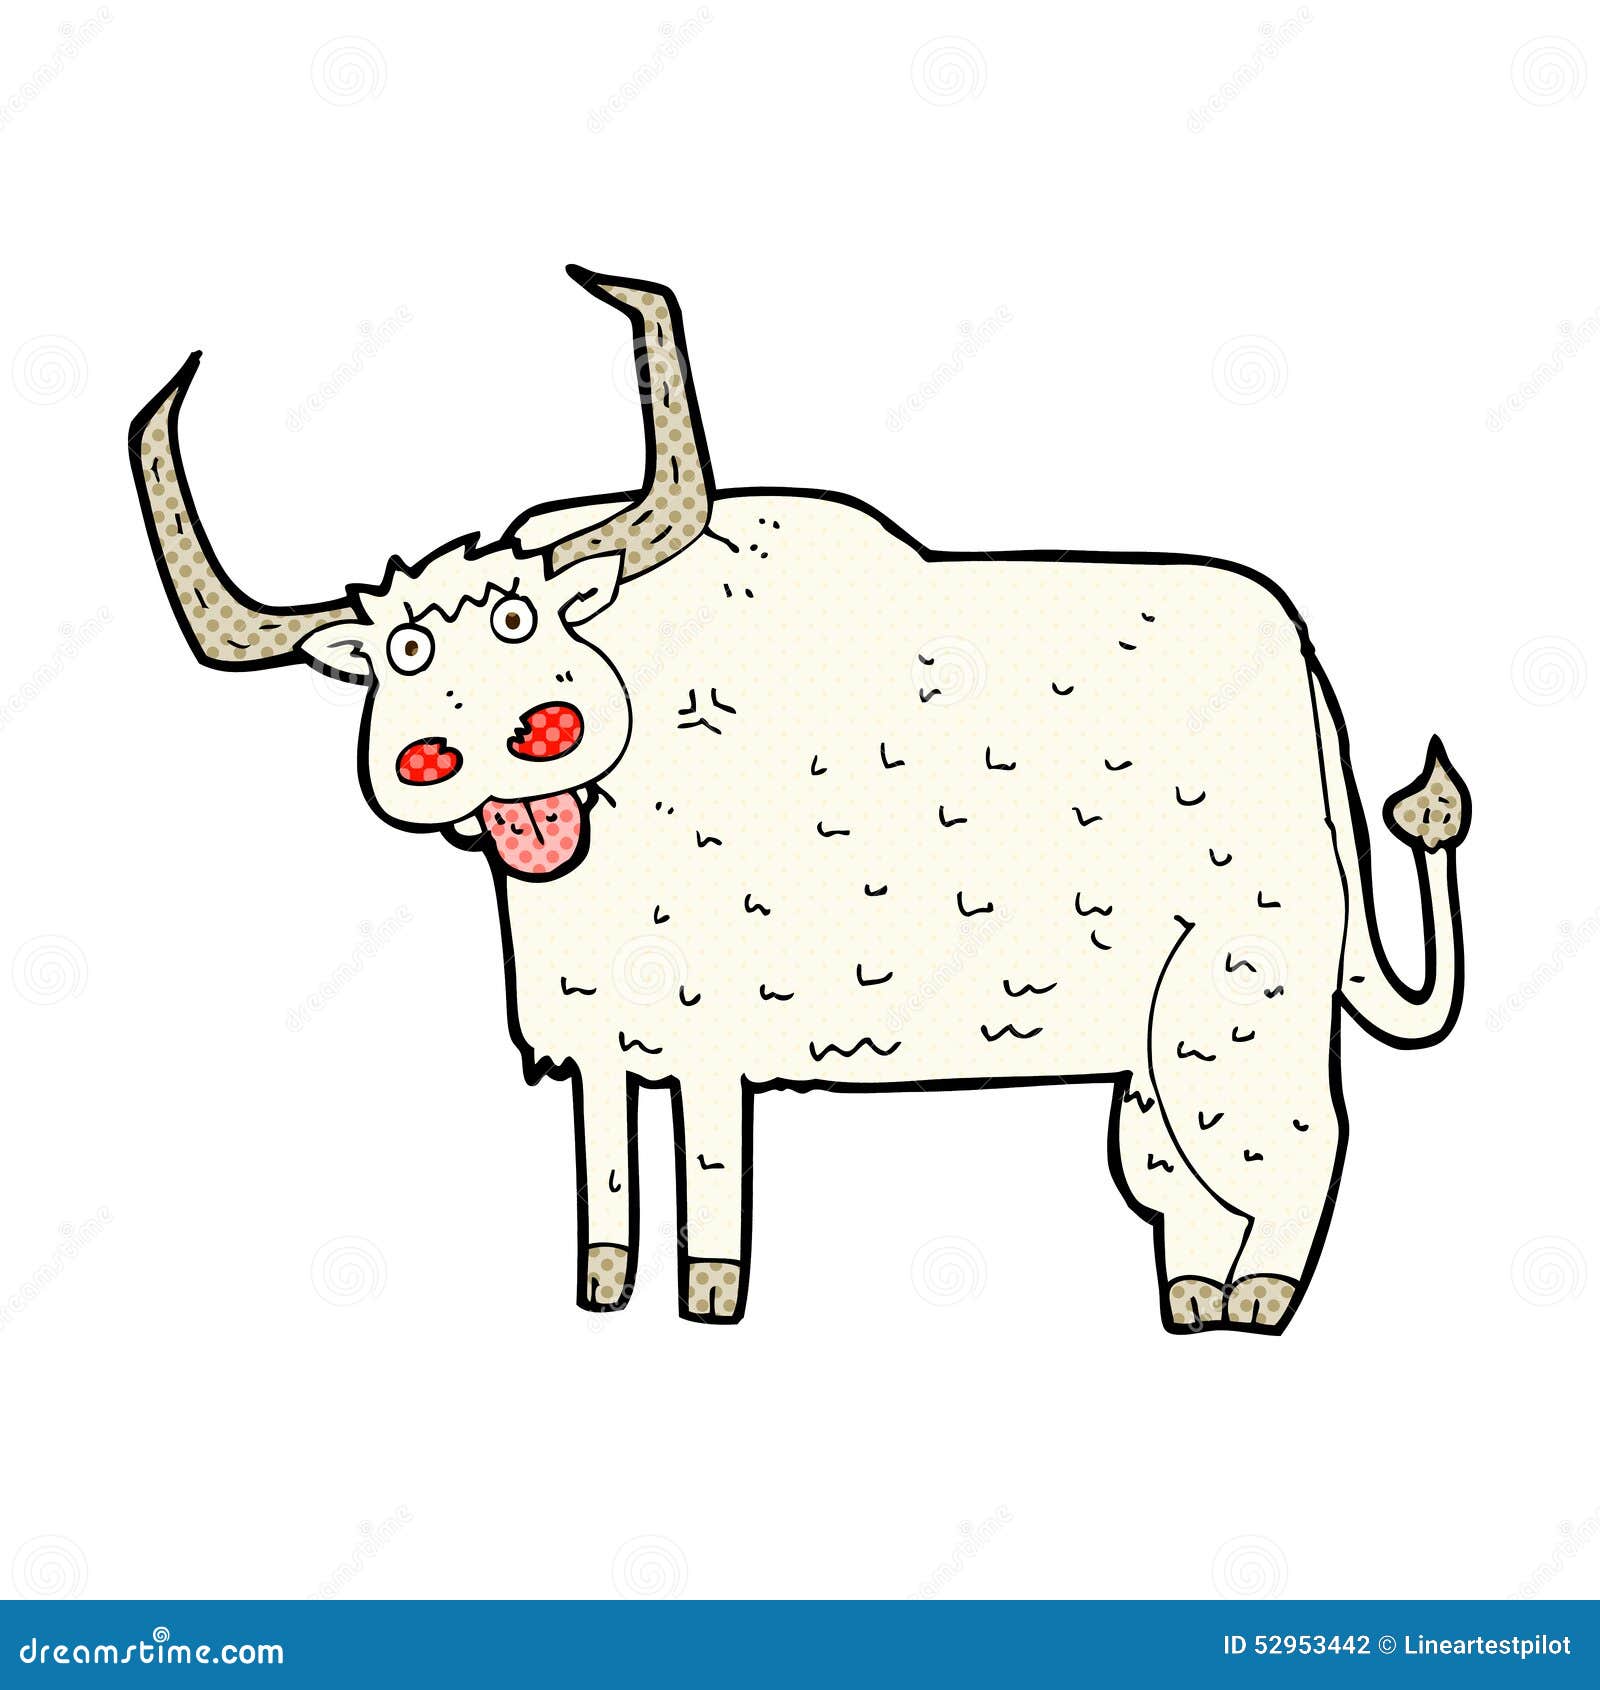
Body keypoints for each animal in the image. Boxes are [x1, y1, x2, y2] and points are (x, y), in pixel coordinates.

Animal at [129, 266, 1471, 1332]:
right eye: (401, 656)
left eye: (526, 620)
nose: (488, 743)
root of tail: (1299, 657)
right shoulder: (602, 1035)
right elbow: (606, 1168)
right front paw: (603, 1290)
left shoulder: (715, 1028)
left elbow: (714, 1166)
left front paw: (710, 1298)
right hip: (1156, 1035)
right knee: (1174, 1171)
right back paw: (1191, 1298)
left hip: (1244, 984)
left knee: (1294, 1142)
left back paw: (1262, 1302)